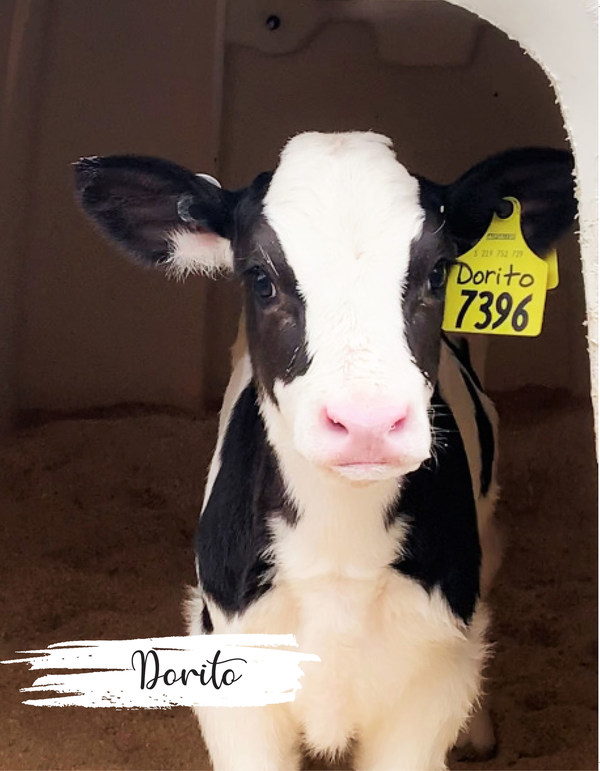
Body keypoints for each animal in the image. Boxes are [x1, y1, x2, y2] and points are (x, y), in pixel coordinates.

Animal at [74, 132, 576, 771]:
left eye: (439, 272)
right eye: (259, 278)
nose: (367, 422)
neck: (340, 554)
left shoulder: (425, 690)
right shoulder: (234, 676)